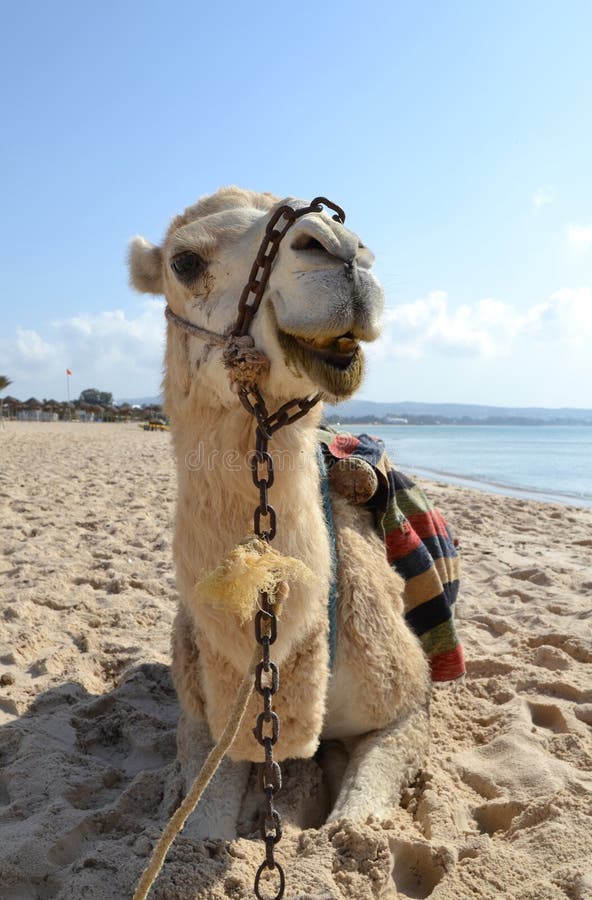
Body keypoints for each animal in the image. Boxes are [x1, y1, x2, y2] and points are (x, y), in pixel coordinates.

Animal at [128, 187, 431, 846]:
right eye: (185, 261)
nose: (345, 252)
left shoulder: (407, 702)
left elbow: (358, 815)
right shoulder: (203, 712)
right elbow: (199, 819)